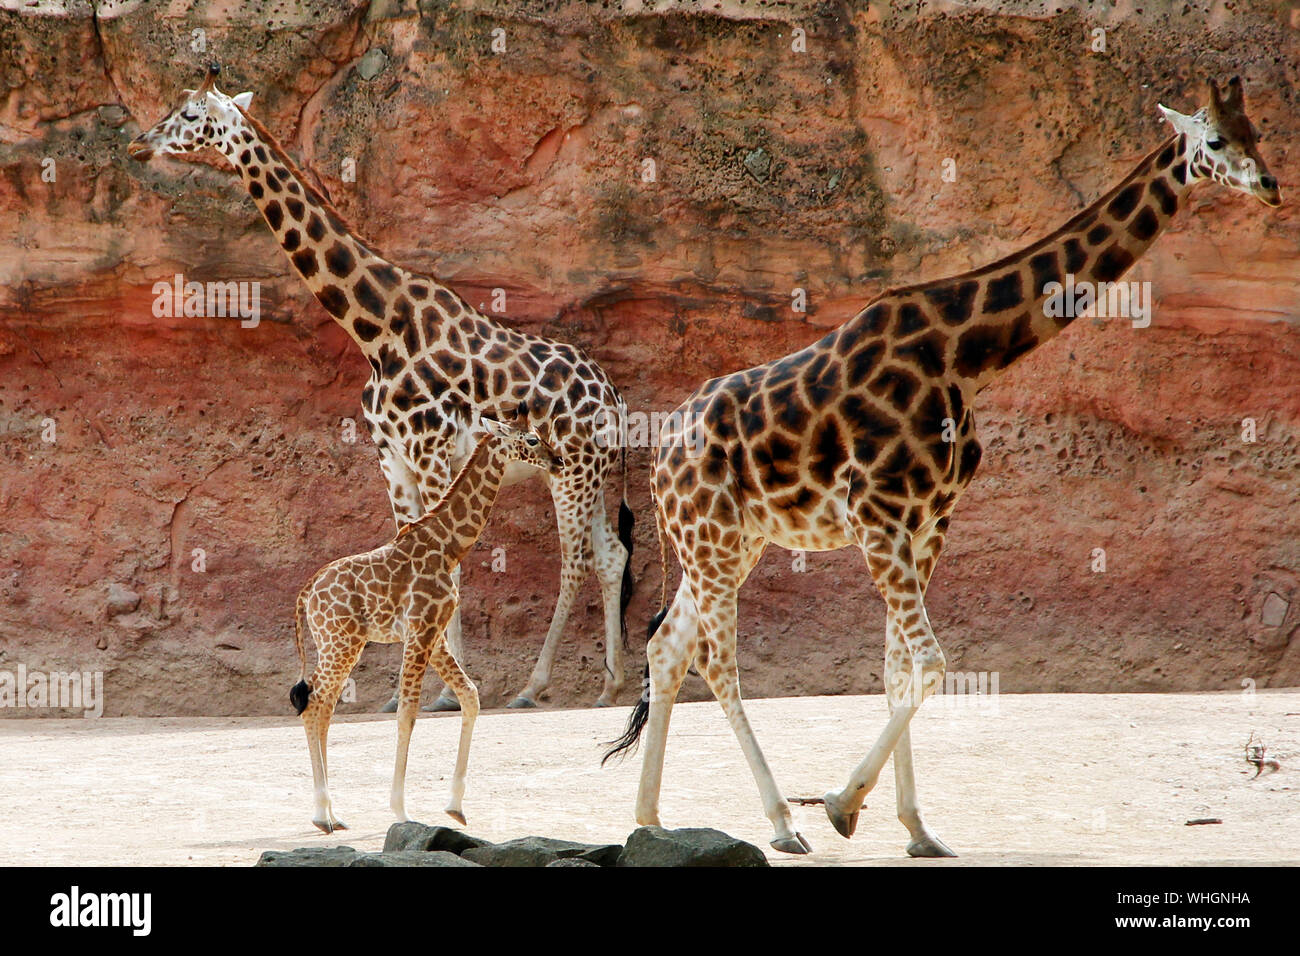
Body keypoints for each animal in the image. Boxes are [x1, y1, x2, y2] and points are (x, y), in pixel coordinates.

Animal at [128, 66, 634, 711]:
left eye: (190, 116)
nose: (138, 144)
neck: (377, 330)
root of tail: (616, 398)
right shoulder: (391, 457)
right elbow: (407, 551)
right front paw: (412, 691)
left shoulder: (432, 451)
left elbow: (450, 563)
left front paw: (445, 691)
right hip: (585, 475)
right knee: (611, 555)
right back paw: (611, 683)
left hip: (572, 472)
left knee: (576, 564)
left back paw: (534, 685)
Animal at [290, 418, 562, 833]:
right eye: (532, 439)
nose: (559, 461)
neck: (449, 545)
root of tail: (307, 593)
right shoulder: (421, 628)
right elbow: (407, 712)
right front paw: (402, 811)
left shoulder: (433, 634)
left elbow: (470, 696)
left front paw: (455, 807)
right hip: (341, 642)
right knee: (314, 705)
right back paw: (322, 815)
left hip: (338, 643)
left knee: (324, 708)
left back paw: (334, 814)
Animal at [605, 78, 1280, 855]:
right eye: (1215, 141)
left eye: (1256, 131)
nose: (1270, 186)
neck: (970, 356)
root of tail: (659, 451)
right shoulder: (877, 516)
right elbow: (931, 662)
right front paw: (839, 804)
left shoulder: (929, 521)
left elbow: (900, 667)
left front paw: (916, 829)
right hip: (712, 539)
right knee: (716, 658)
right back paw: (779, 822)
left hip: (729, 542)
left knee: (668, 645)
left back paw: (650, 818)